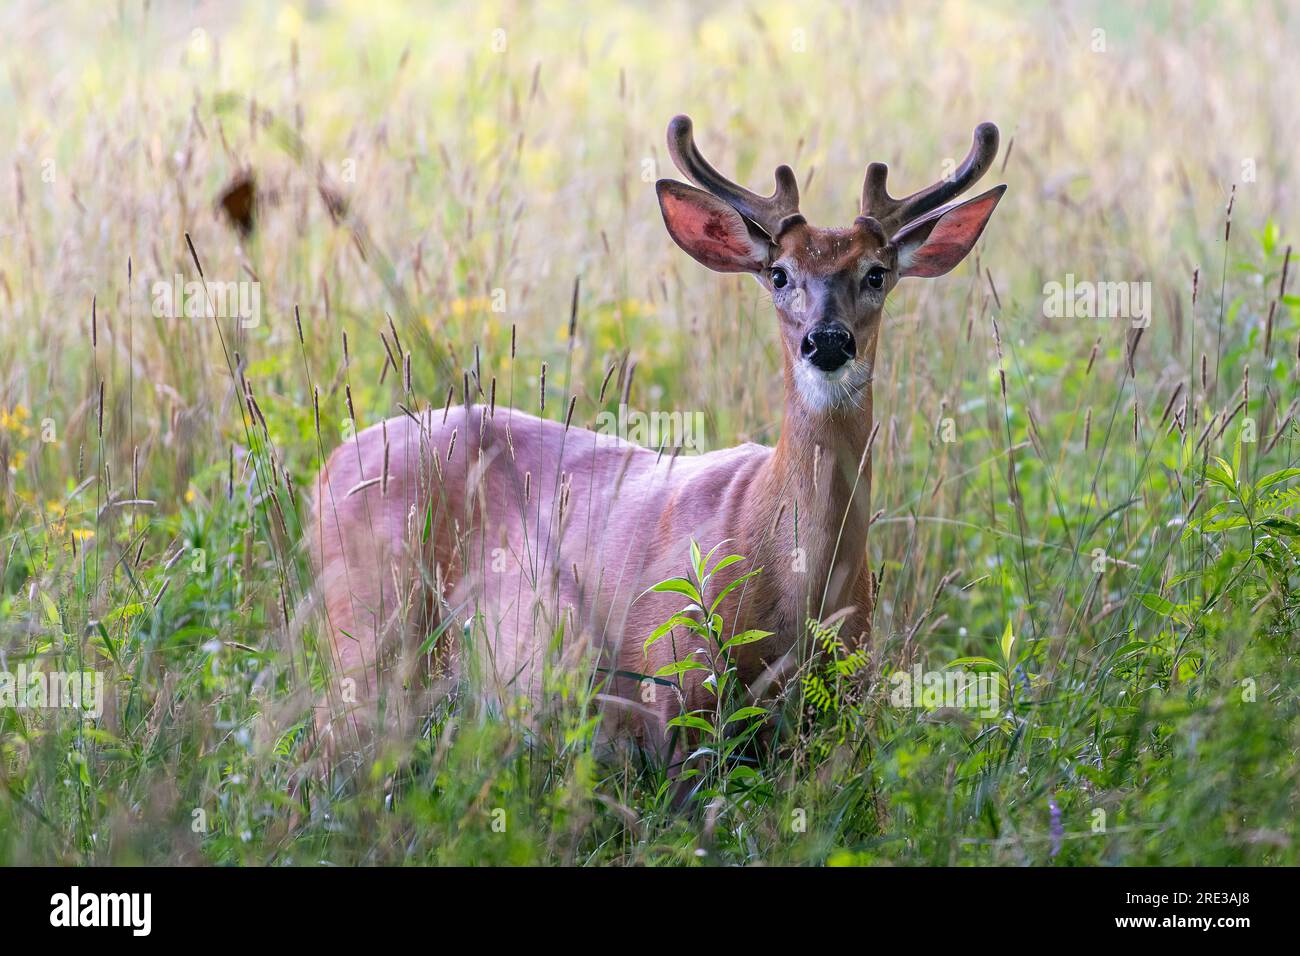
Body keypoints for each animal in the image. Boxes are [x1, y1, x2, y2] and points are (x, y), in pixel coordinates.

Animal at [310, 115, 1005, 768]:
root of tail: (326, 470)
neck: (795, 582)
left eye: (877, 273)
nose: (828, 341)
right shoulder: (675, 684)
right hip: (370, 623)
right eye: (779, 273)